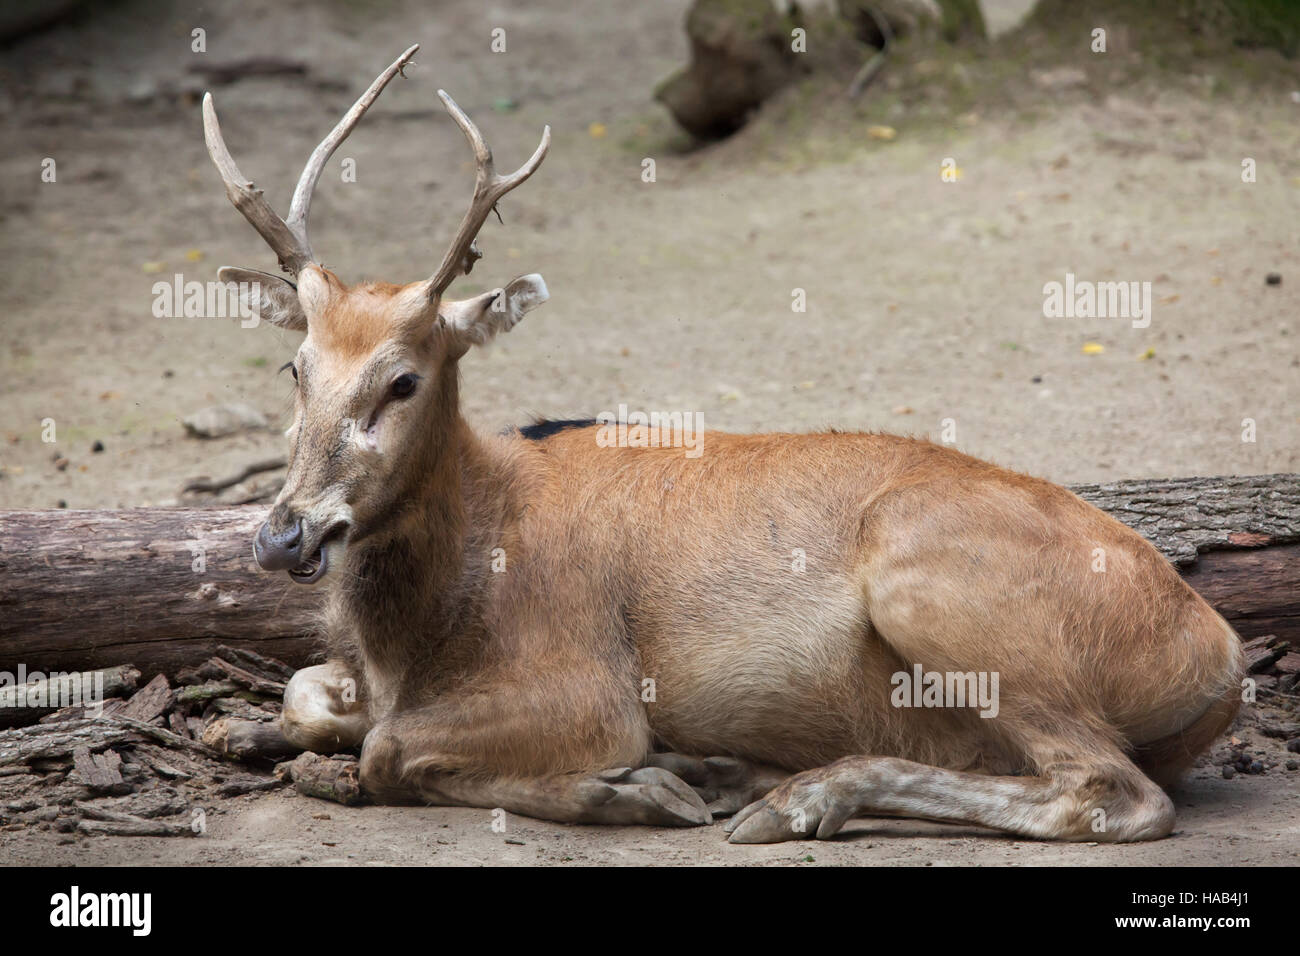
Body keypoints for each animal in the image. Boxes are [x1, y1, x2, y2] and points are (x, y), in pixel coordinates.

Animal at [201, 45, 1243, 844]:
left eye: (404, 378)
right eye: (295, 366)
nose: (283, 535)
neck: (432, 620)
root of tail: (1221, 657)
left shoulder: (588, 684)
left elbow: (391, 751)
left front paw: (638, 785)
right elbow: (305, 695)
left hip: (939, 588)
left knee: (1111, 791)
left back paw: (789, 796)